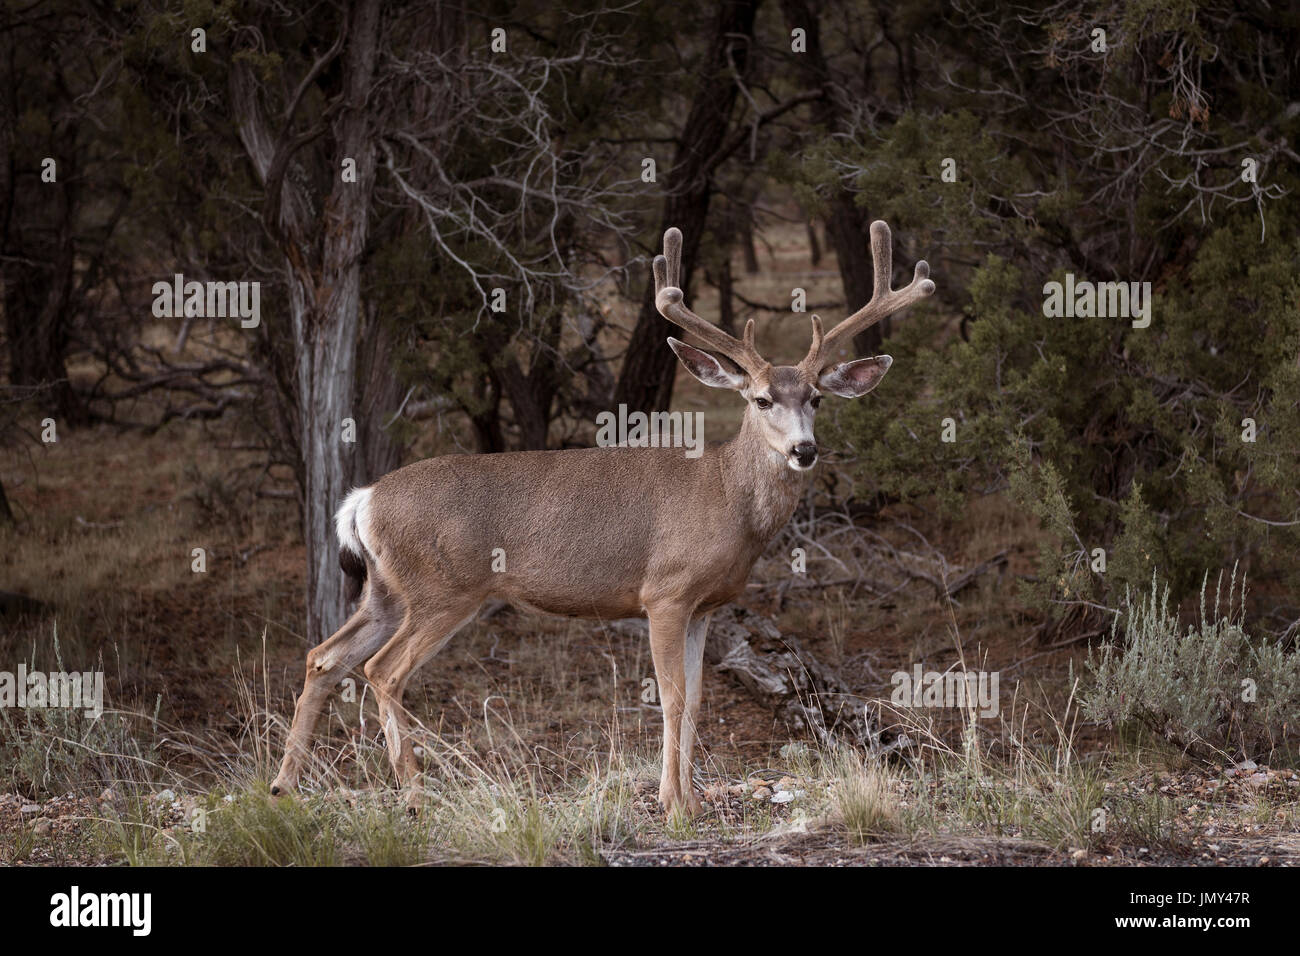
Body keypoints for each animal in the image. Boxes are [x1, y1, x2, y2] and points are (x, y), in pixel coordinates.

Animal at [270, 220, 934, 817]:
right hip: (443, 588)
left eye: (816, 398)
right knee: (382, 670)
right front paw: (675, 806)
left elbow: (697, 701)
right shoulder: (665, 592)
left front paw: (689, 799)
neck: (727, 497)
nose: (804, 449)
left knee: (324, 657)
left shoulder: (707, 606)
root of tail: (363, 498)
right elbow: (671, 699)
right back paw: (411, 795)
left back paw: (283, 786)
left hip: (386, 590)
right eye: (761, 398)